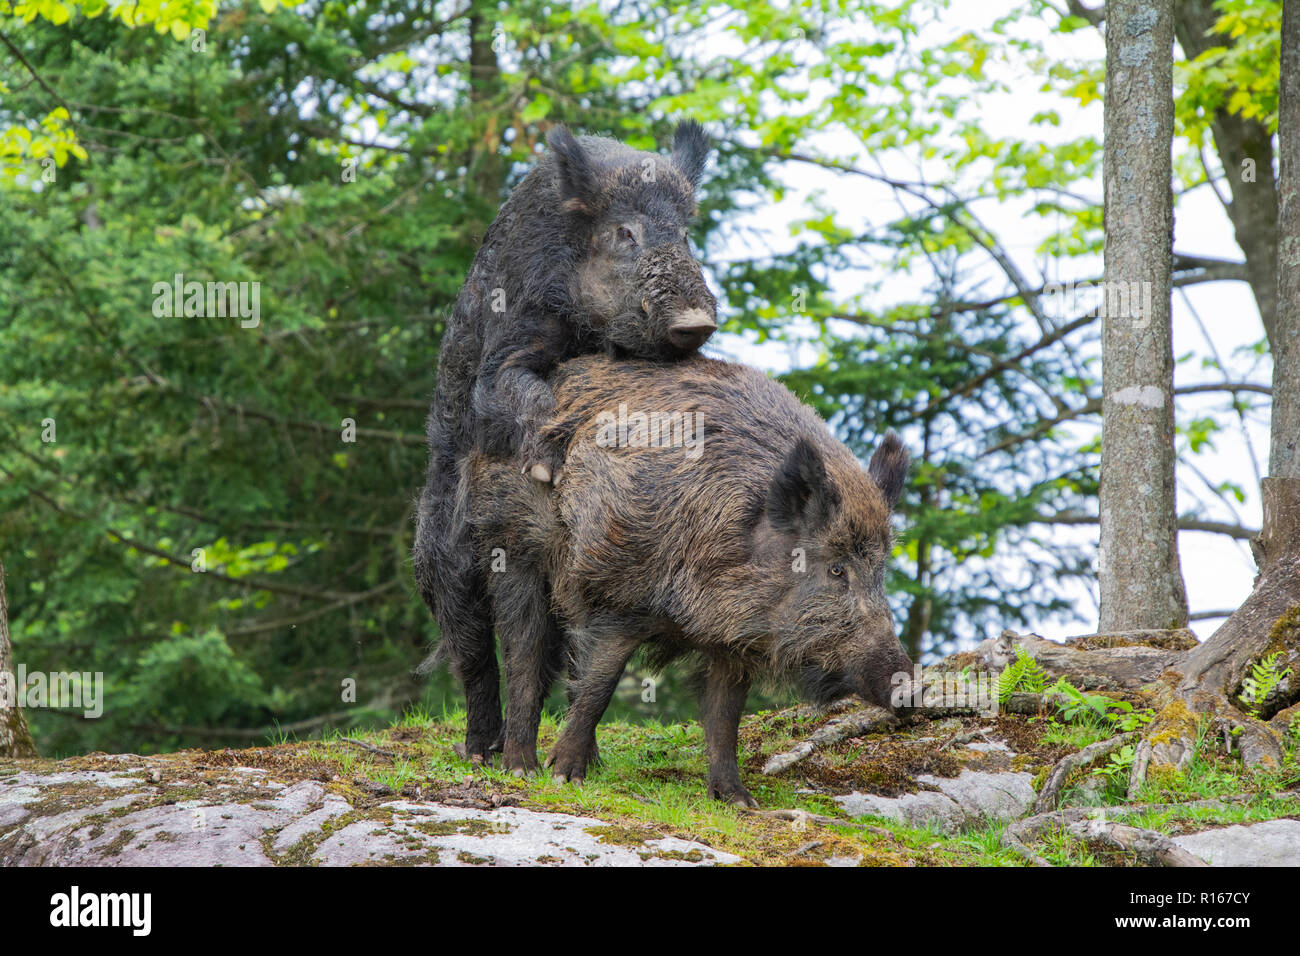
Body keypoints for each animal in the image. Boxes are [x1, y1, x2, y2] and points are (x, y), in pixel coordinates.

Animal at [413, 122, 719, 763]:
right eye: (624, 233)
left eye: (685, 234)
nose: (697, 321)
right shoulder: (509, 343)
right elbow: (511, 389)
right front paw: (546, 473)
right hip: (444, 559)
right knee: (471, 651)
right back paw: (481, 752)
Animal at [467, 354, 914, 806]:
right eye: (836, 568)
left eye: (880, 570)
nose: (910, 690)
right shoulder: (617, 598)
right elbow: (600, 686)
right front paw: (564, 778)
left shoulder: (733, 644)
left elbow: (724, 717)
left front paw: (739, 801)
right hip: (511, 542)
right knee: (524, 651)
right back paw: (522, 768)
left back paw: (592, 766)